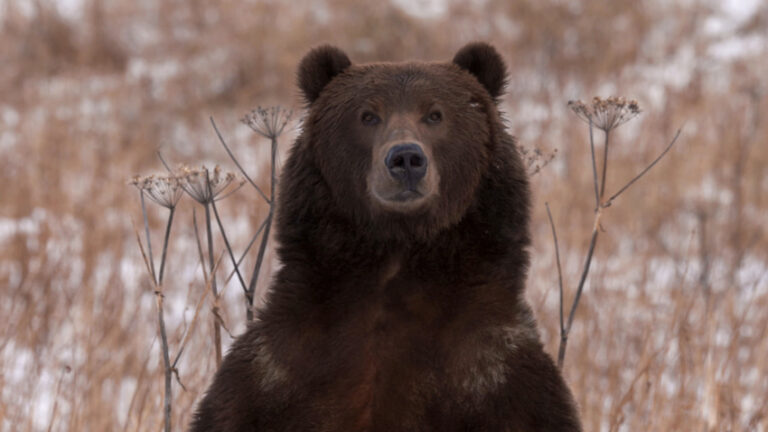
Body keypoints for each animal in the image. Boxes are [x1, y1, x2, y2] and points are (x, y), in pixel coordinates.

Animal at [190, 42, 582, 432]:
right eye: (367, 115)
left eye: (435, 114)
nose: (406, 159)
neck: (397, 253)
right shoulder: (277, 372)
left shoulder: (494, 374)